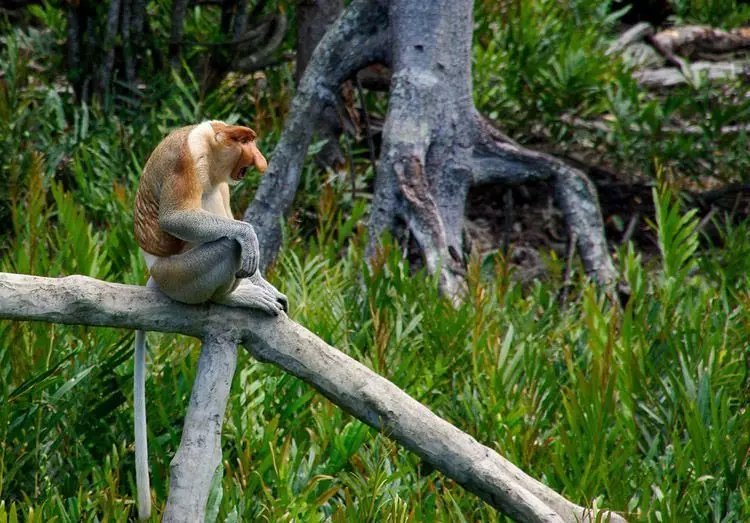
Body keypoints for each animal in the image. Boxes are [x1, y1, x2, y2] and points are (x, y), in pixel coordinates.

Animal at [131, 121, 286, 520]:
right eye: (247, 142)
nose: (261, 161)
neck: (207, 142)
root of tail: (155, 274)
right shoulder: (186, 160)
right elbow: (179, 219)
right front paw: (249, 236)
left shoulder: (222, 181)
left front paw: (268, 286)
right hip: (181, 277)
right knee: (227, 245)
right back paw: (233, 296)